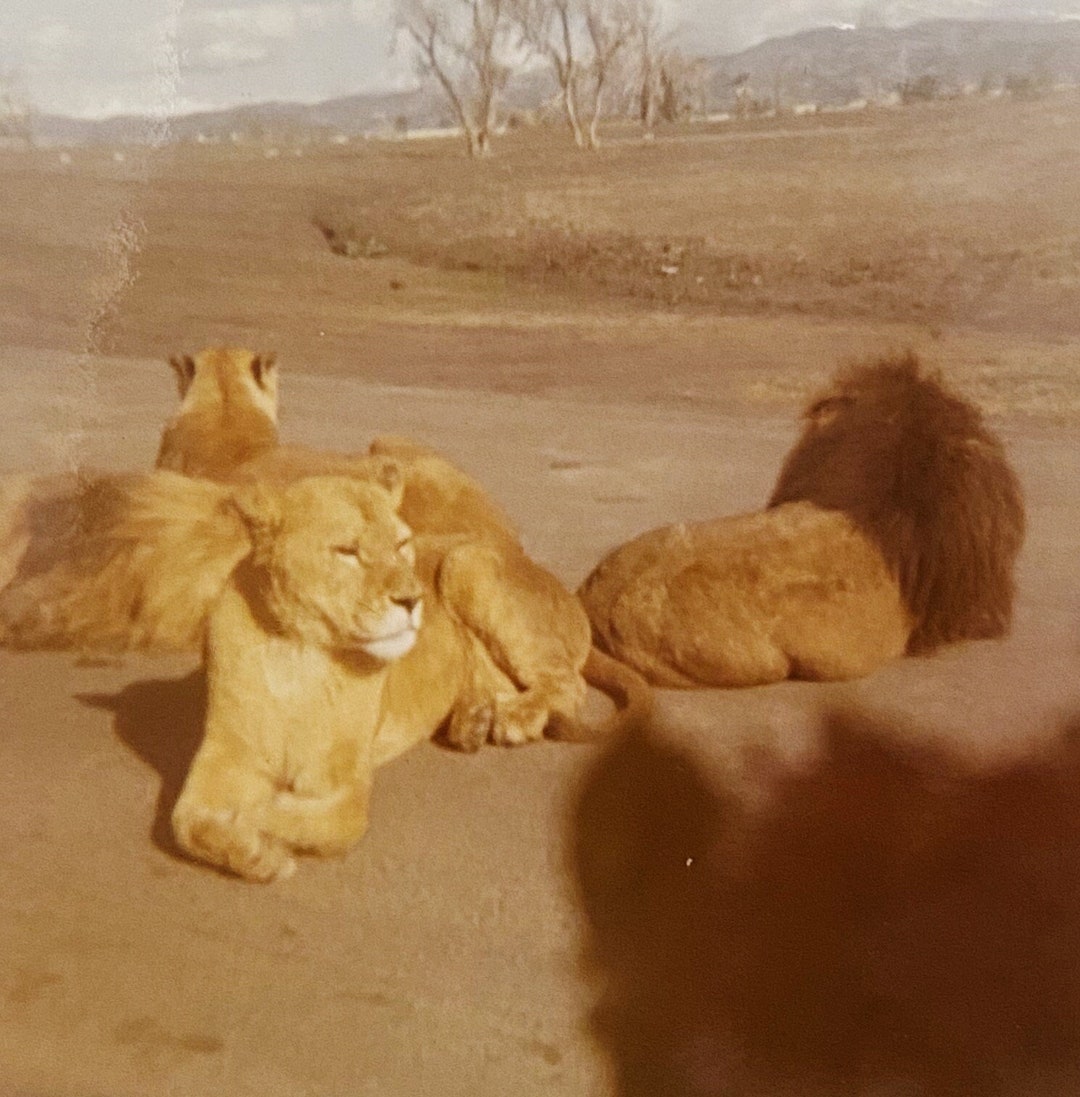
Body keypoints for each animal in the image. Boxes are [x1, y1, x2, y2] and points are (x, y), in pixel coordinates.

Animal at [0, 463, 616, 881]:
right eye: (347, 551)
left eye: (402, 543)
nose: (413, 599)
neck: (297, 655)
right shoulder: (221, 762)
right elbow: (185, 819)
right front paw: (247, 851)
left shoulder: (345, 789)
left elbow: (303, 819)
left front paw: (255, 832)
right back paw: (472, 720)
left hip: (470, 561)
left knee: (566, 684)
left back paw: (514, 718)